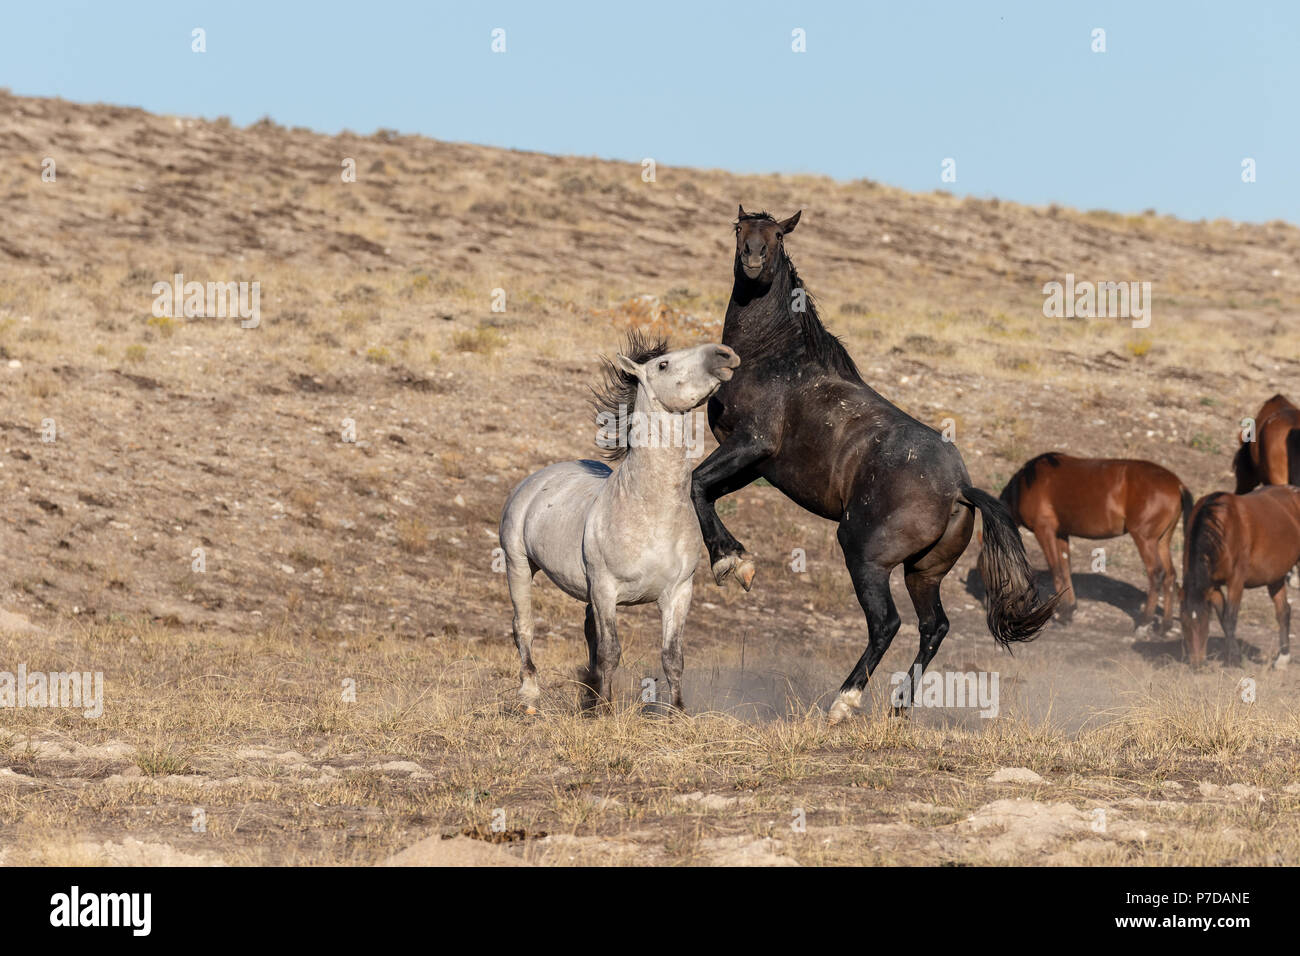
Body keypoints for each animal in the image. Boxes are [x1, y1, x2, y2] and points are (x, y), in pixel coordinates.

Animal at [499, 331, 740, 713]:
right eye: (663, 364)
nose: (726, 354)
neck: (651, 514)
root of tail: (536, 480)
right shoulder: (605, 588)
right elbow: (611, 651)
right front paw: (603, 710)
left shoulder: (678, 592)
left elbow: (672, 656)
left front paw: (677, 712)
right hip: (518, 564)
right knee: (523, 626)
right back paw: (530, 695)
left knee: (588, 632)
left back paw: (588, 693)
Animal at [690, 207, 1057, 724]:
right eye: (739, 229)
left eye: (778, 234)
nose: (754, 259)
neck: (773, 357)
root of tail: (958, 488)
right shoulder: (754, 465)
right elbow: (707, 490)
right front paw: (737, 561)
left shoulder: (750, 445)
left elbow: (696, 483)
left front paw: (731, 565)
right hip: (922, 572)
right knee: (933, 626)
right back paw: (898, 708)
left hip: (864, 555)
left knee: (887, 623)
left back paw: (843, 703)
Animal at [999, 454, 1192, 631]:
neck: (1025, 484)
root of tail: (1177, 484)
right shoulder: (1061, 534)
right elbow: (1065, 570)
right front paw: (1069, 611)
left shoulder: (1044, 531)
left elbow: (1057, 571)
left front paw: (1062, 615)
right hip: (1162, 541)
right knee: (1170, 576)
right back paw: (1165, 626)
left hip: (1145, 540)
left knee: (1156, 574)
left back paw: (1145, 622)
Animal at [1180, 485, 1300, 669]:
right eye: (1183, 623)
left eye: (1204, 621)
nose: (1197, 664)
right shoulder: (1213, 585)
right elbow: (1223, 618)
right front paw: (1234, 656)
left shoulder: (1236, 581)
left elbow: (1230, 618)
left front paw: (1235, 661)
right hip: (1276, 575)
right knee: (1283, 612)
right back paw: (1283, 658)